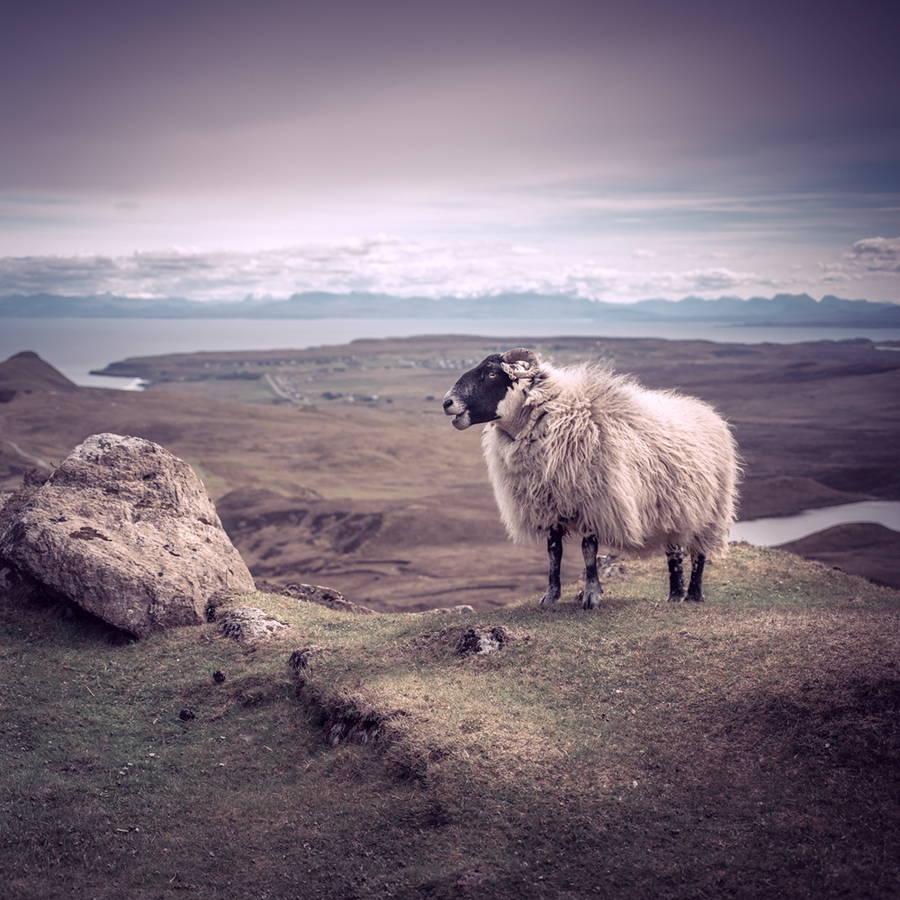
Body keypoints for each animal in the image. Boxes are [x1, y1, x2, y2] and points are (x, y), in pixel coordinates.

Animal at [442, 348, 739, 609]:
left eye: (492, 373)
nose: (446, 403)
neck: (557, 415)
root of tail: (708, 412)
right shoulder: (550, 505)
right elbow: (554, 552)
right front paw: (550, 597)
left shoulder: (594, 501)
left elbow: (588, 551)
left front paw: (592, 597)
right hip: (675, 509)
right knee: (674, 551)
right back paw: (675, 596)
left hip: (711, 510)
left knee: (699, 553)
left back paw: (693, 596)